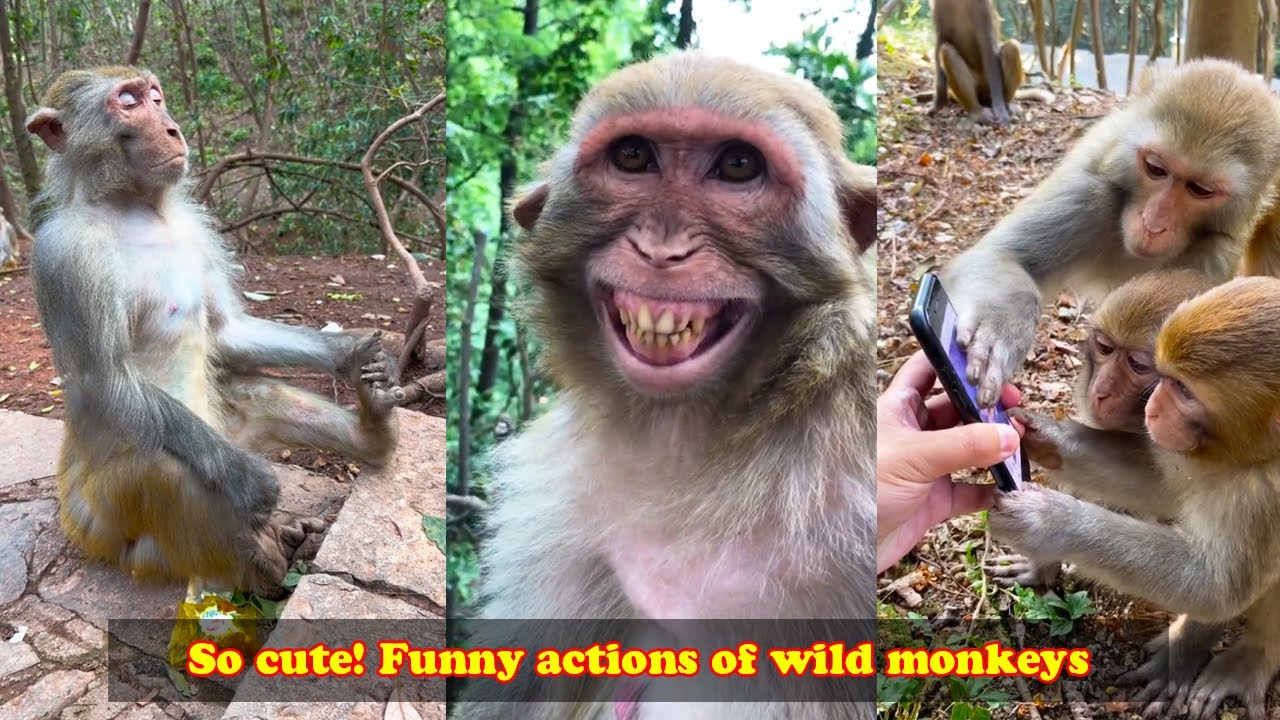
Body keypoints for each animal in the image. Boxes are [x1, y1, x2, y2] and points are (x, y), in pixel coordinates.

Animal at [24, 67, 403, 599]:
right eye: (127, 102)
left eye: (155, 97)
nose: (171, 128)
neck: (132, 209)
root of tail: (70, 518)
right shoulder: (65, 254)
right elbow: (106, 380)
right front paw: (250, 479)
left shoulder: (196, 227)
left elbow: (227, 331)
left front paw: (351, 354)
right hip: (106, 527)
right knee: (162, 466)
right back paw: (259, 563)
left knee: (256, 393)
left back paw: (370, 437)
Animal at [942, 58, 1280, 410]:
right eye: (1156, 168)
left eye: (1200, 189)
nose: (1152, 223)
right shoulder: (1090, 192)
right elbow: (1000, 256)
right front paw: (1001, 326)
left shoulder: (1216, 251)